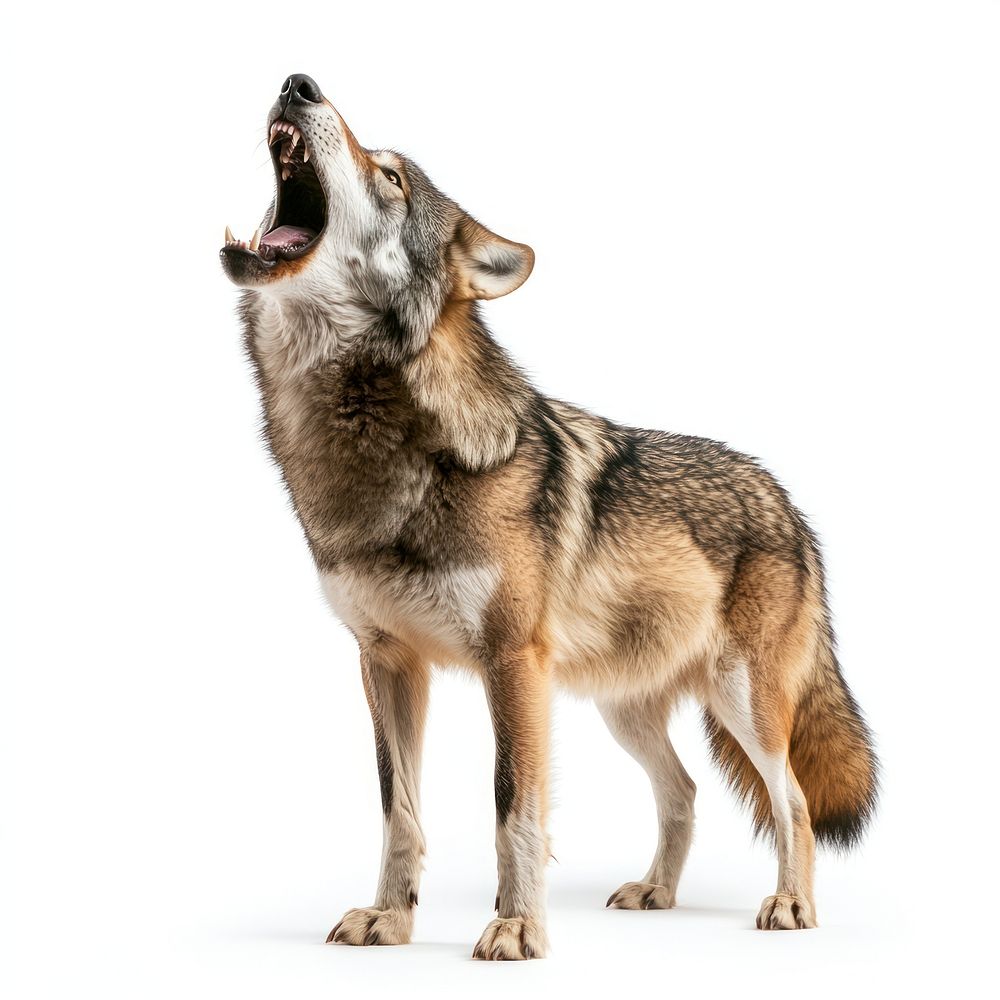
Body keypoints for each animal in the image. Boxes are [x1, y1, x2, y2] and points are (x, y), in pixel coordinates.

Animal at [220, 73, 878, 960]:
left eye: (390, 176)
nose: (299, 83)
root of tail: (790, 502)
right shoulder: (387, 661)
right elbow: (400, 811)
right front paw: (391, 920)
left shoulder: (512, 663)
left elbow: (512, 807)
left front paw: (517, 926)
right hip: (622, 710)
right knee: (685, 791)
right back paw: (656, 893)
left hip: (745, 704)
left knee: (794, 802)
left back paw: (791, 906)